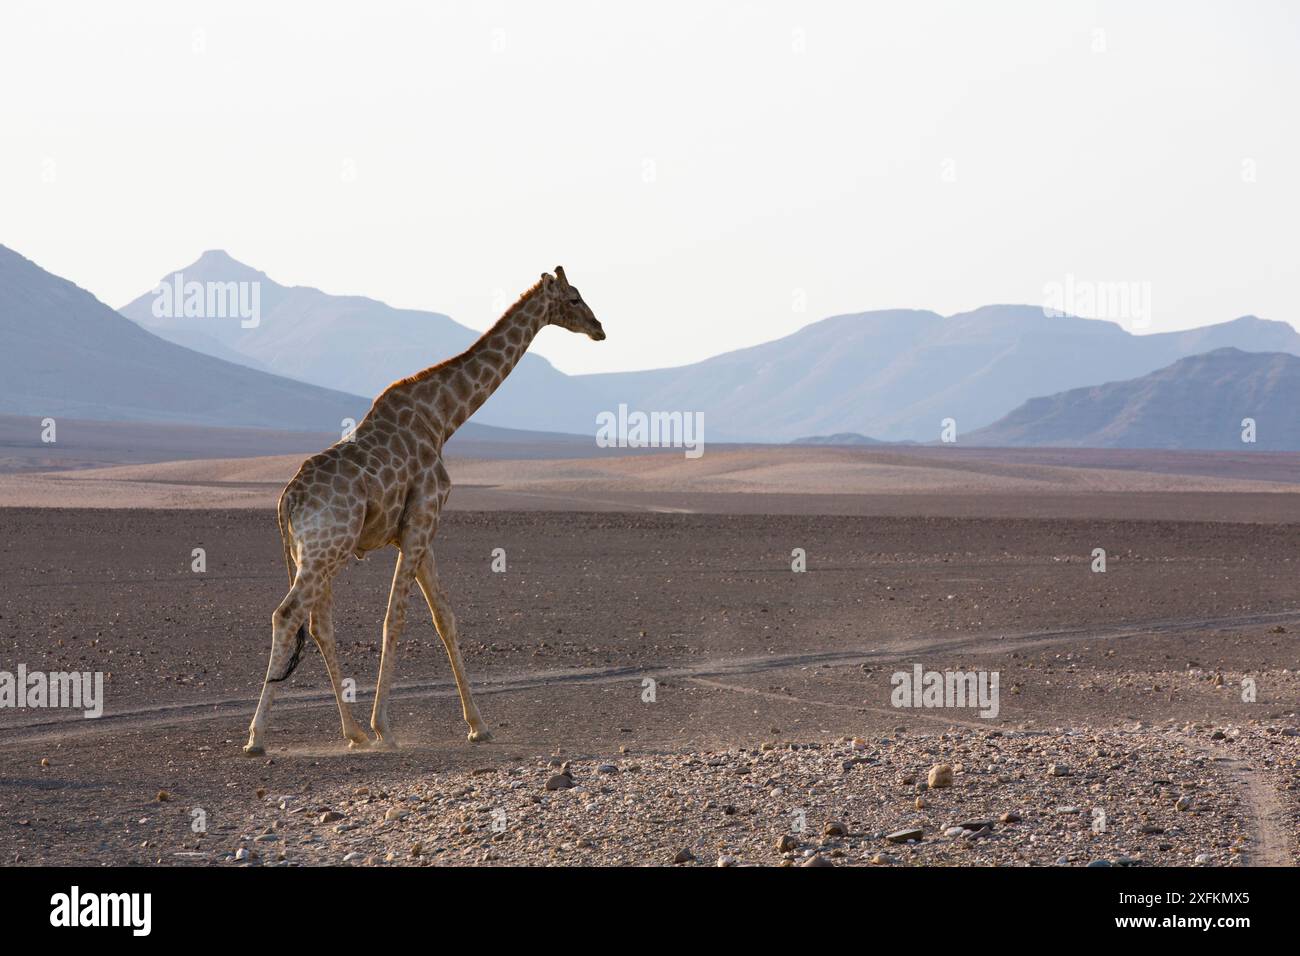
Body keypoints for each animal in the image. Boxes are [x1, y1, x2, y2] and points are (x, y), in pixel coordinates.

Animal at [243, 266, 605, 755]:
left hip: (316, 554)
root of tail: (287, 499)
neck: (443, 418)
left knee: (318, 623)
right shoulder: (421, 521)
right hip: (327, 549)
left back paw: (352, 732)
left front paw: (478, 725)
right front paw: (385, 727)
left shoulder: (420, 530)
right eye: (572, 298)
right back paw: (258, 737)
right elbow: (394, 618)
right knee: (288, 615)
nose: (599, 328)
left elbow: (444, 618)